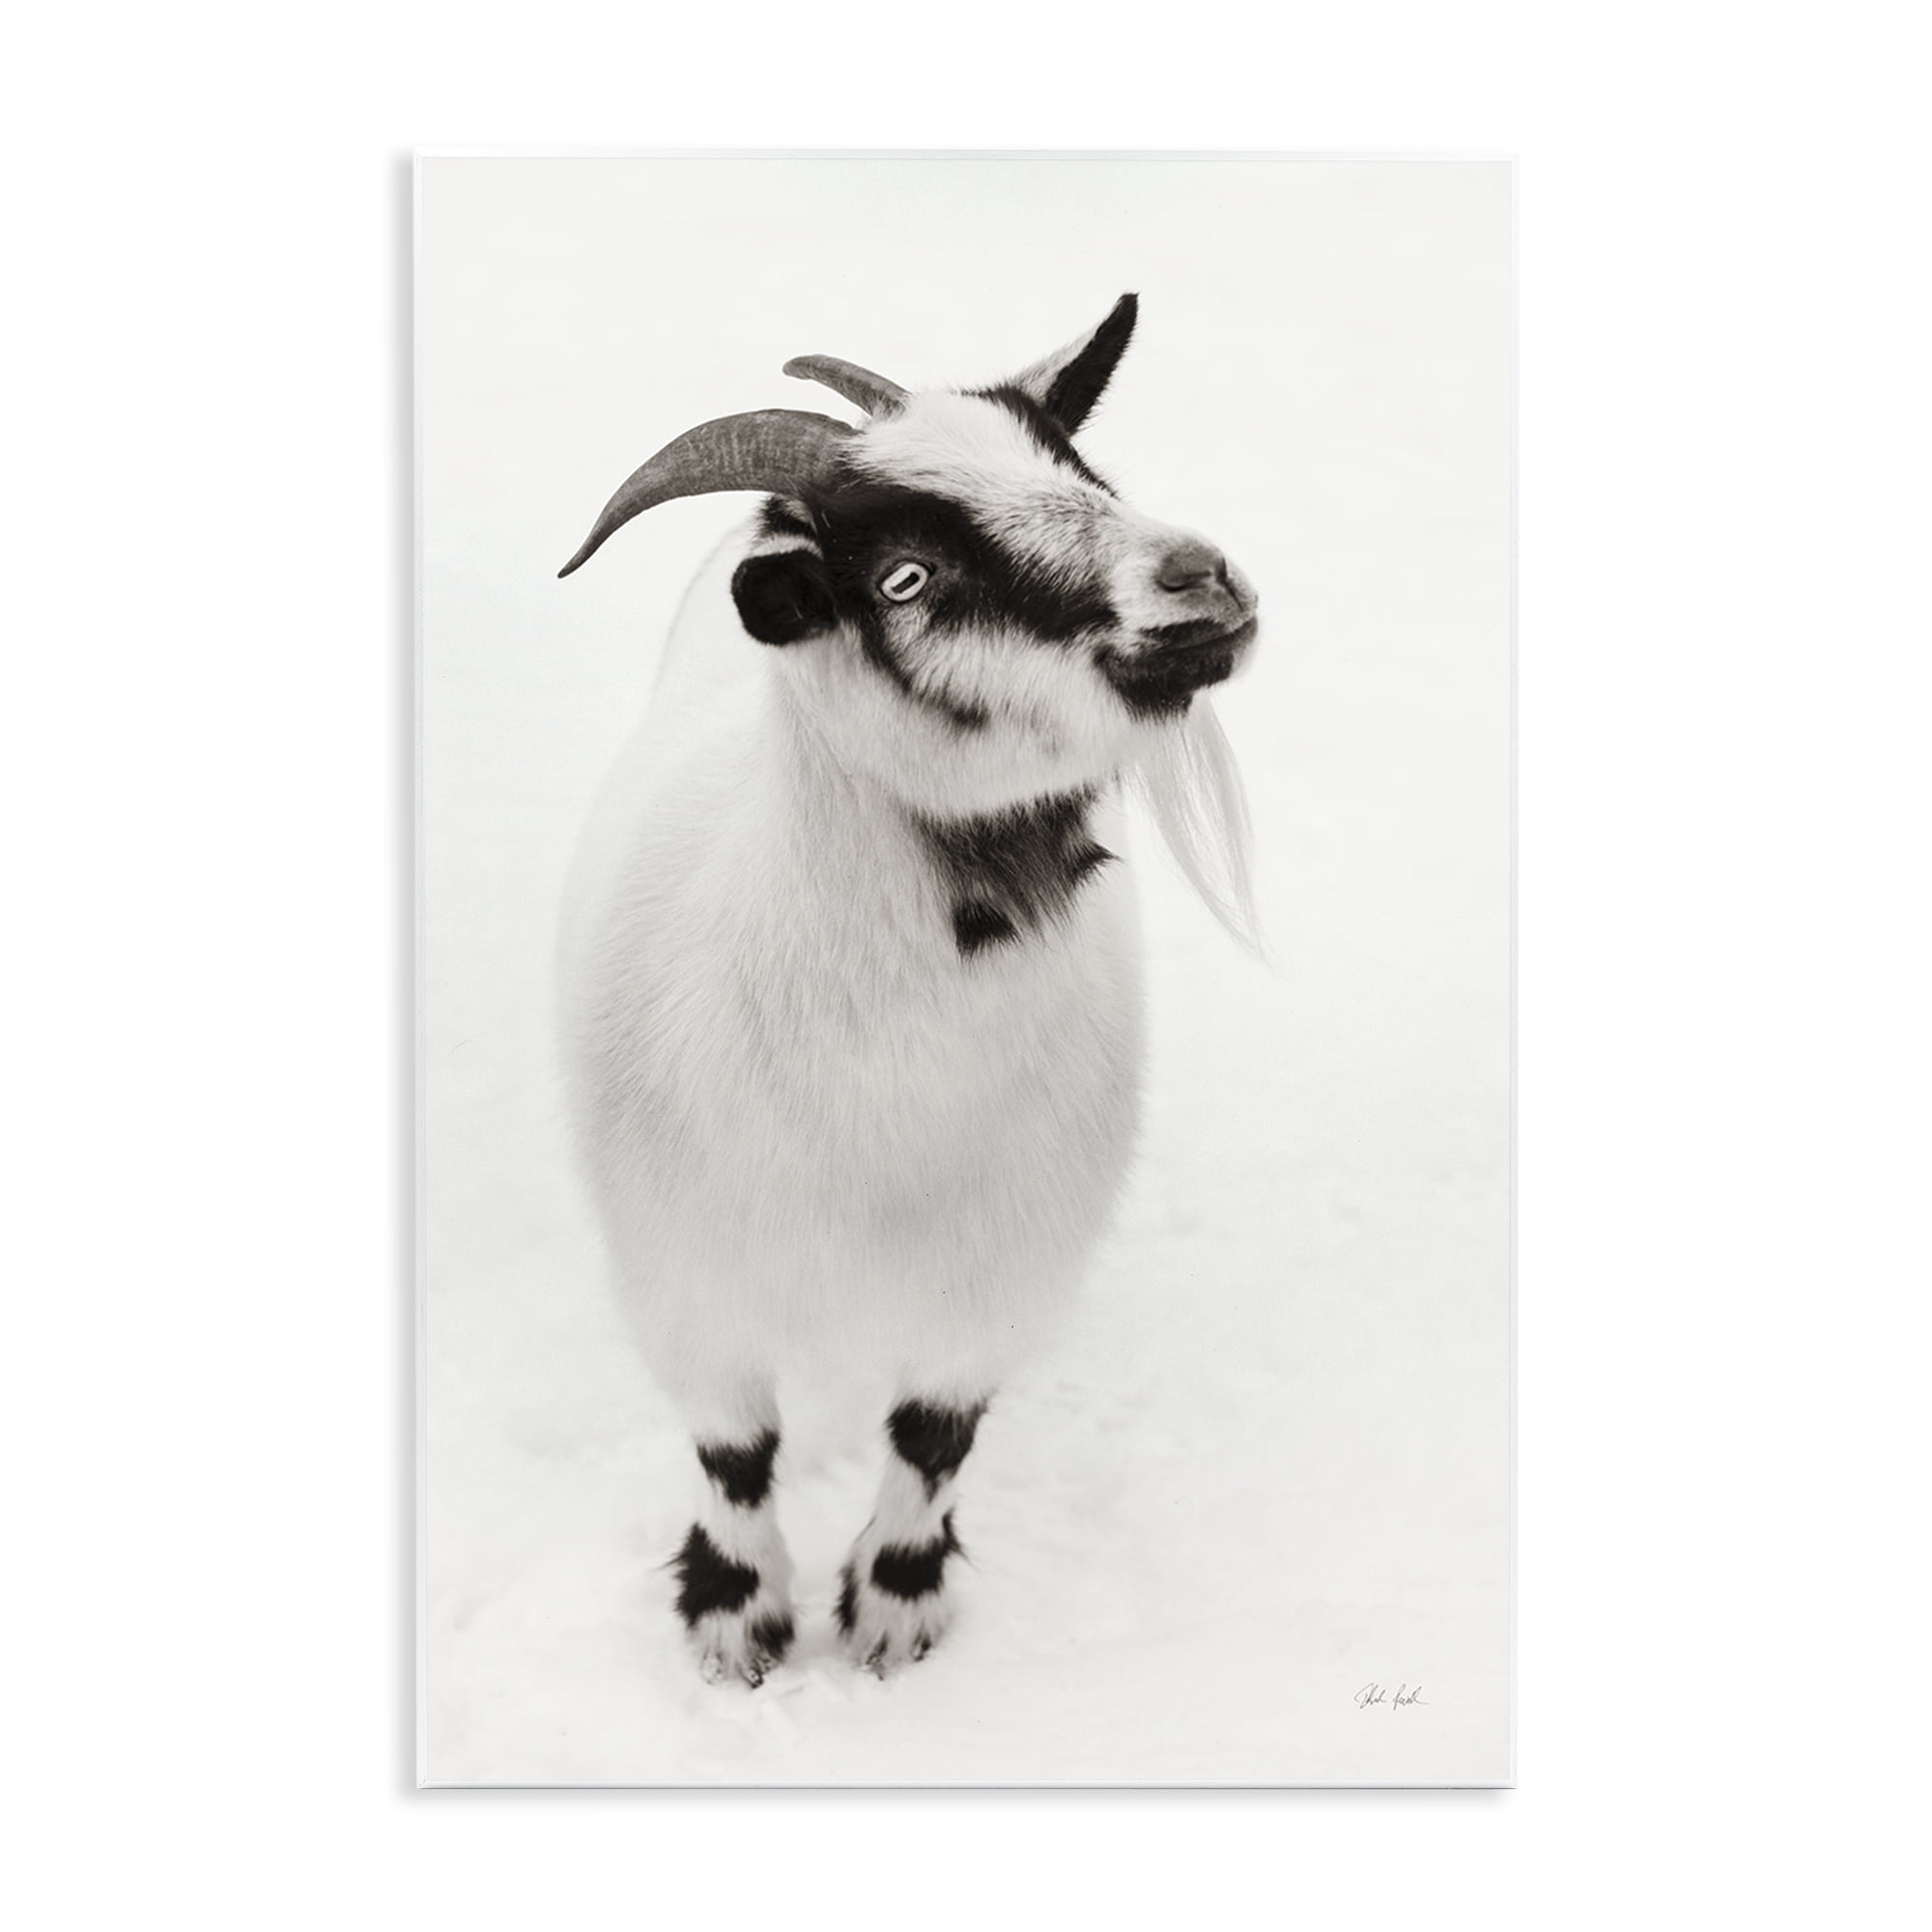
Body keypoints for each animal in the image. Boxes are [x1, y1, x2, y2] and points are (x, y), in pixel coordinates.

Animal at [556, 295, 1259, 1683]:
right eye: (905, 577)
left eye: (1084, 471)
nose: (1198, 579)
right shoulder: (680, 1280)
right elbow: (734, 1453)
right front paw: (735, 1623)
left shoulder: (1002, 1277)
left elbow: (934, 1441)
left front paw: (892, 1612)